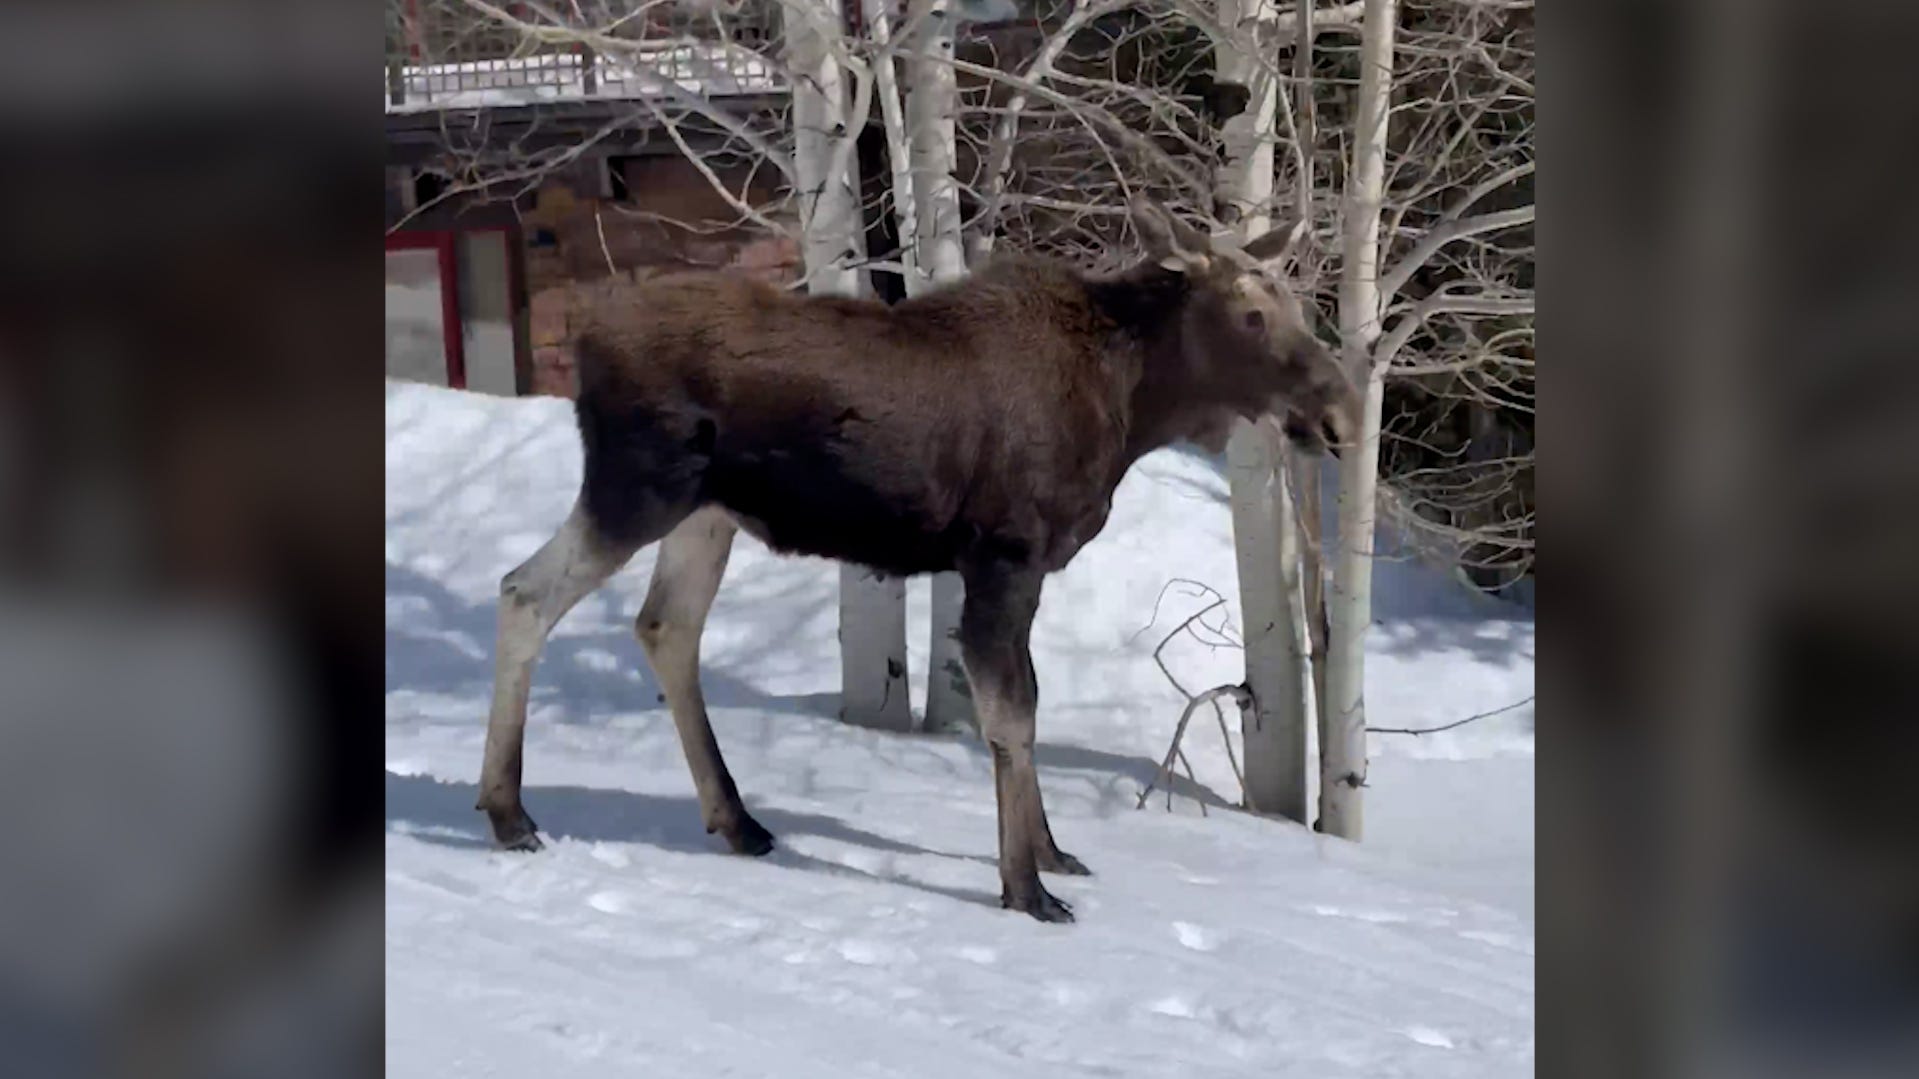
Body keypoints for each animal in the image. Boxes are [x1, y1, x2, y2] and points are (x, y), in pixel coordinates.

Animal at [475, 198, 1361, 922]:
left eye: (1293, 304)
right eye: (1250, 313)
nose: (1339, 414)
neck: (1133, 405)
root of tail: (585, 340)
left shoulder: (1016, 566)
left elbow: (1025, 702)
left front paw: (1050, 852)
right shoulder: (1003, 553)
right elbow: (1011, 713)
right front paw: (1024, 885)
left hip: (705, 514)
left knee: (665, 626)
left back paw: (737, 819)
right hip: (637, 488)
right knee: (523, 591)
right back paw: (508, 811)